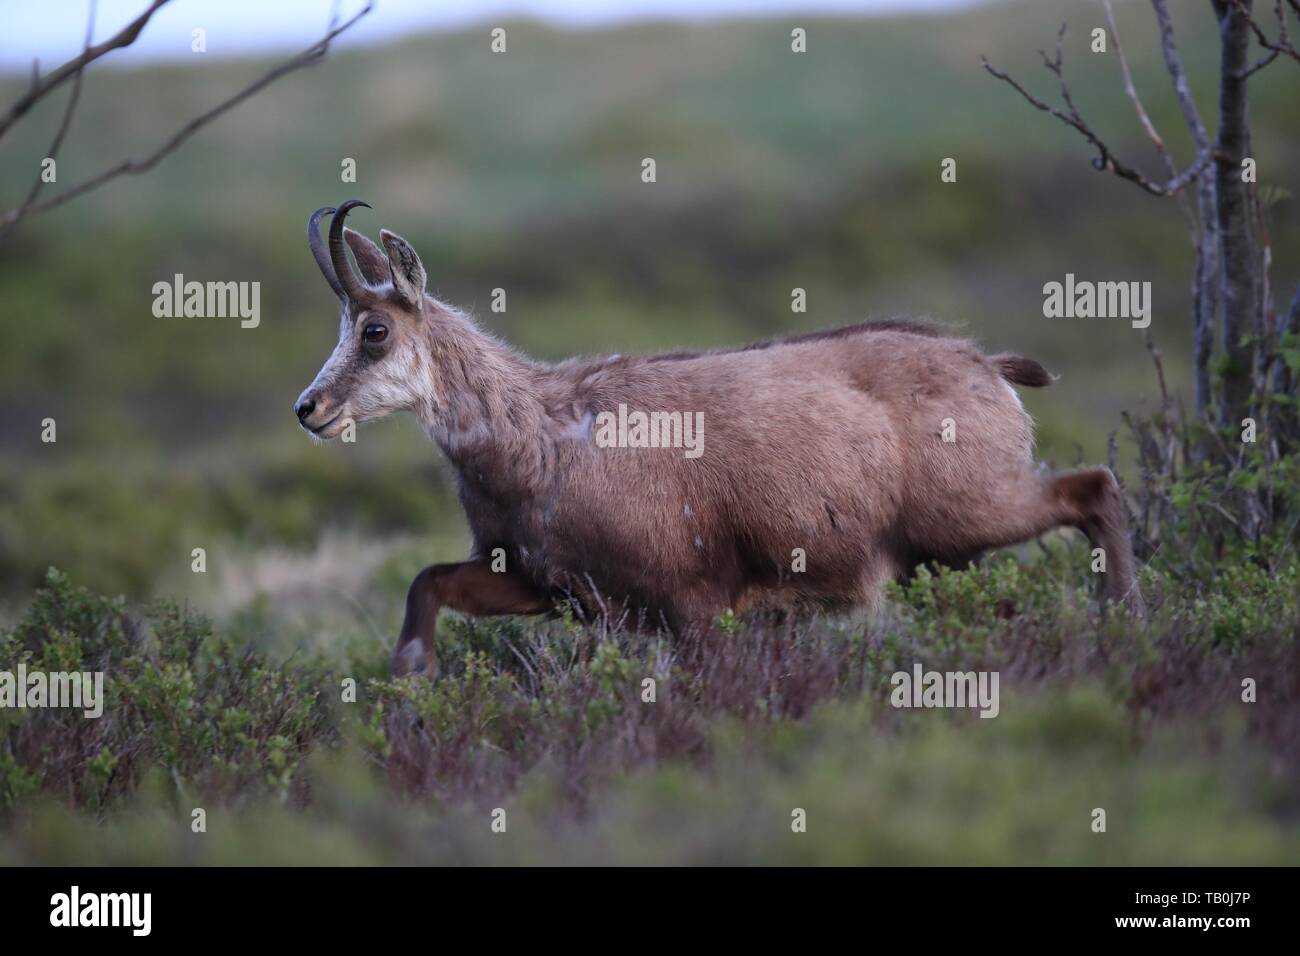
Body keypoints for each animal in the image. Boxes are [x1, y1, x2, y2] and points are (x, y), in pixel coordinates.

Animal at [296, 201, 1143, 678]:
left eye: (374, 330)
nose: (309, 407)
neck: (540, 439)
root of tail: (990, 366)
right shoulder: (542, 580)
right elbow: (429, 581)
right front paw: (409, 677)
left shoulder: (691, 598)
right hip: (941, 555)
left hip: (973, 507)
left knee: (1092, 488)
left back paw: (1124, 618)